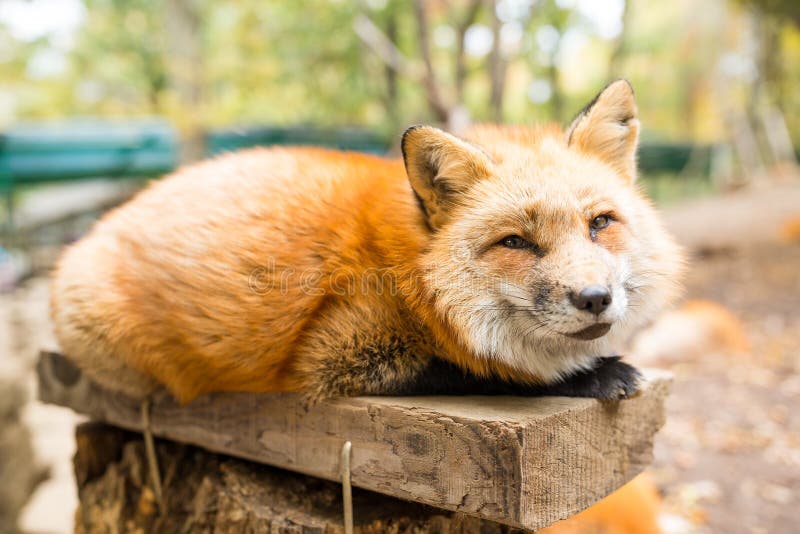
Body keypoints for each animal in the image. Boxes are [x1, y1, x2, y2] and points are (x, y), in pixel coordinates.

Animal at [50, 80, 684, 404]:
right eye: (516, 243)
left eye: (600, 223)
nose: (595, 298)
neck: (412, 274)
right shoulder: (331, 357)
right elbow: (491, 373)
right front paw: (590, 375)